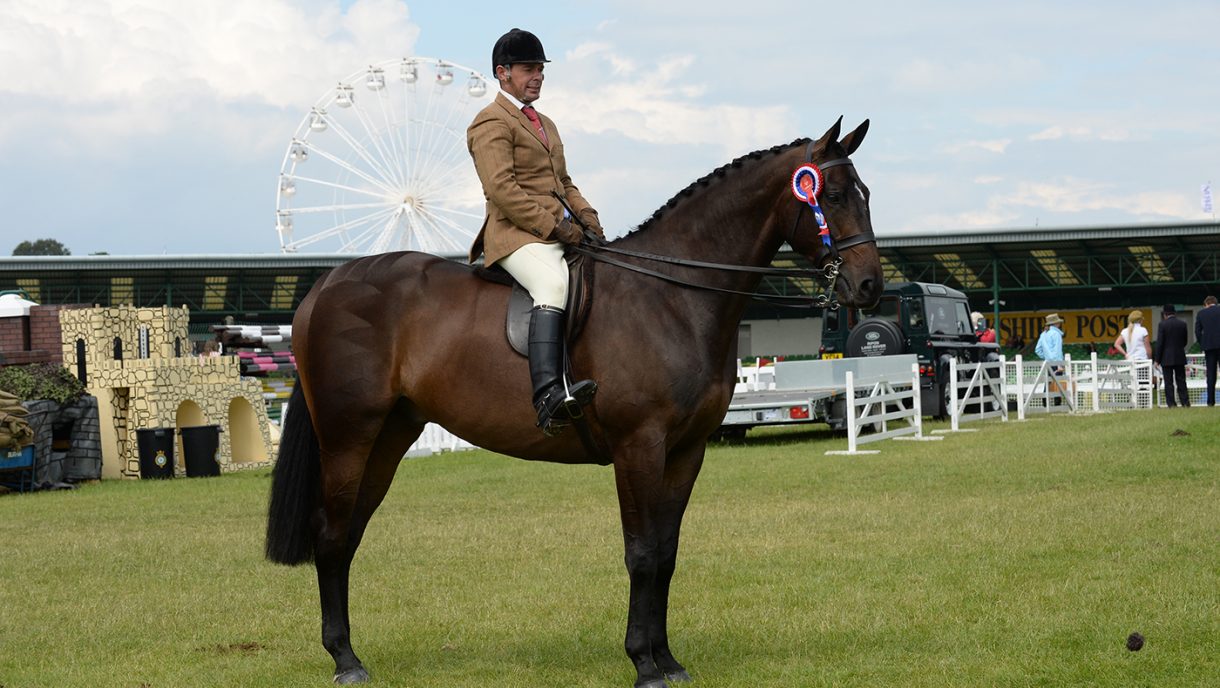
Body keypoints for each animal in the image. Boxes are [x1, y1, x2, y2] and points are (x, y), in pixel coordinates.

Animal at [265, 117, 883, 687]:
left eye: (866, 193)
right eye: (828, 196)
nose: (870, 287)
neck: (672, 296)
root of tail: (322, 288)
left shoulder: (686, 450)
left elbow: (666, 552)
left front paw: (669, 661)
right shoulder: (639, 446)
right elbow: (641, 552)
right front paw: (643, 665)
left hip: (390, 436)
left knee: (348, 536)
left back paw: (348, 654)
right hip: (348, 435)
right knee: (330, 533)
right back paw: (345, 662)